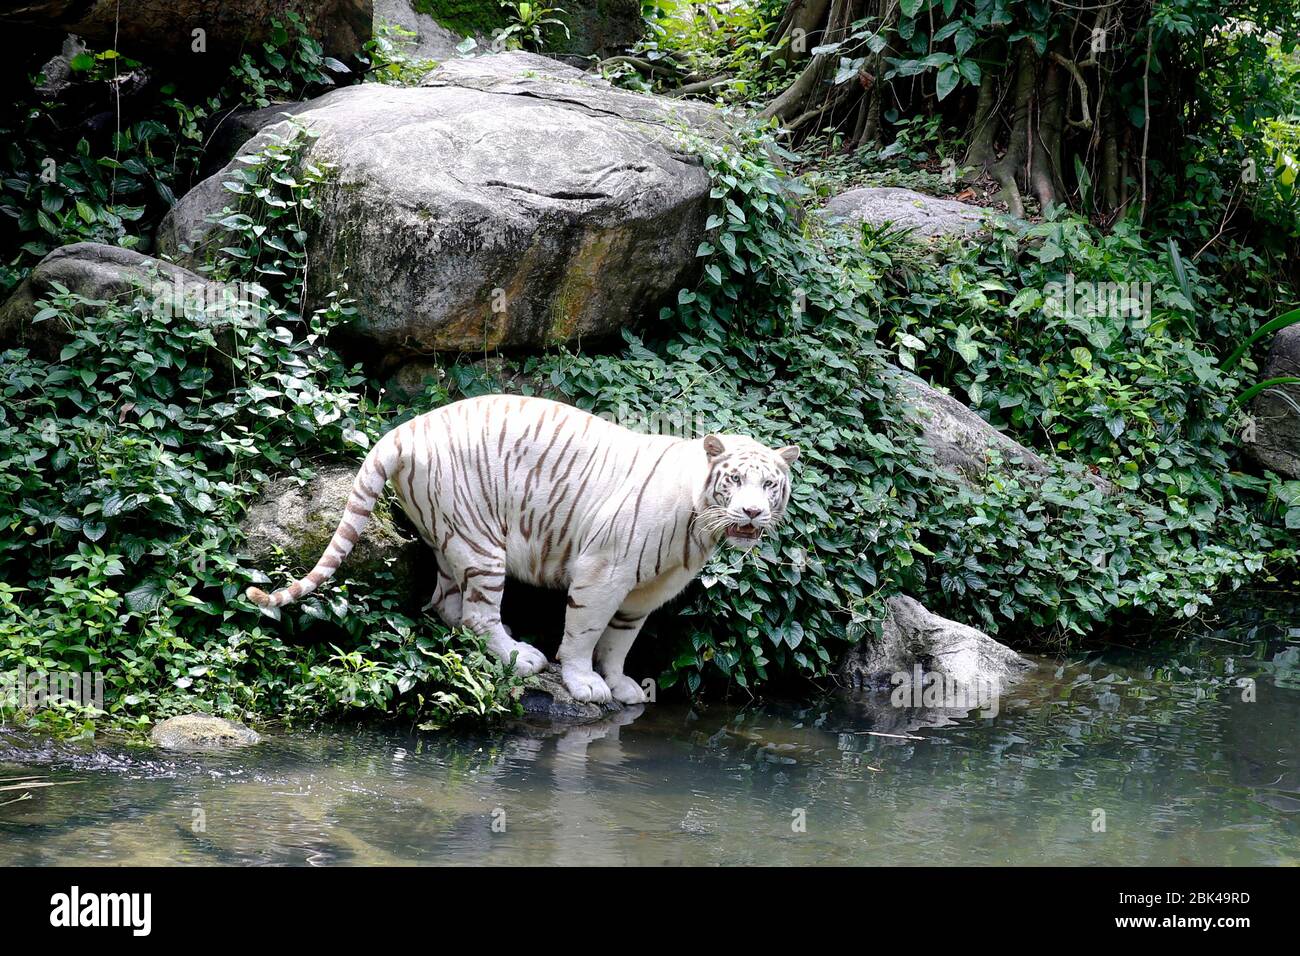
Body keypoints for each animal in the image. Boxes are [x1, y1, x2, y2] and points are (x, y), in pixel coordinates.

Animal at [246, 394, 799, 704]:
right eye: (735, 481)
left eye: (770, 485)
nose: (753, 512)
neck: (697, 529)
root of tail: (401, 430)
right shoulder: (604, 572)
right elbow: (584, 633)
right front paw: (585, 684)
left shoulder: (646, 591)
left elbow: (620, 641)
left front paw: (620, 684)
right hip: (481, 538)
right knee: (476, 613)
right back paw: (521, 656)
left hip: (448, 533)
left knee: (447, 604)